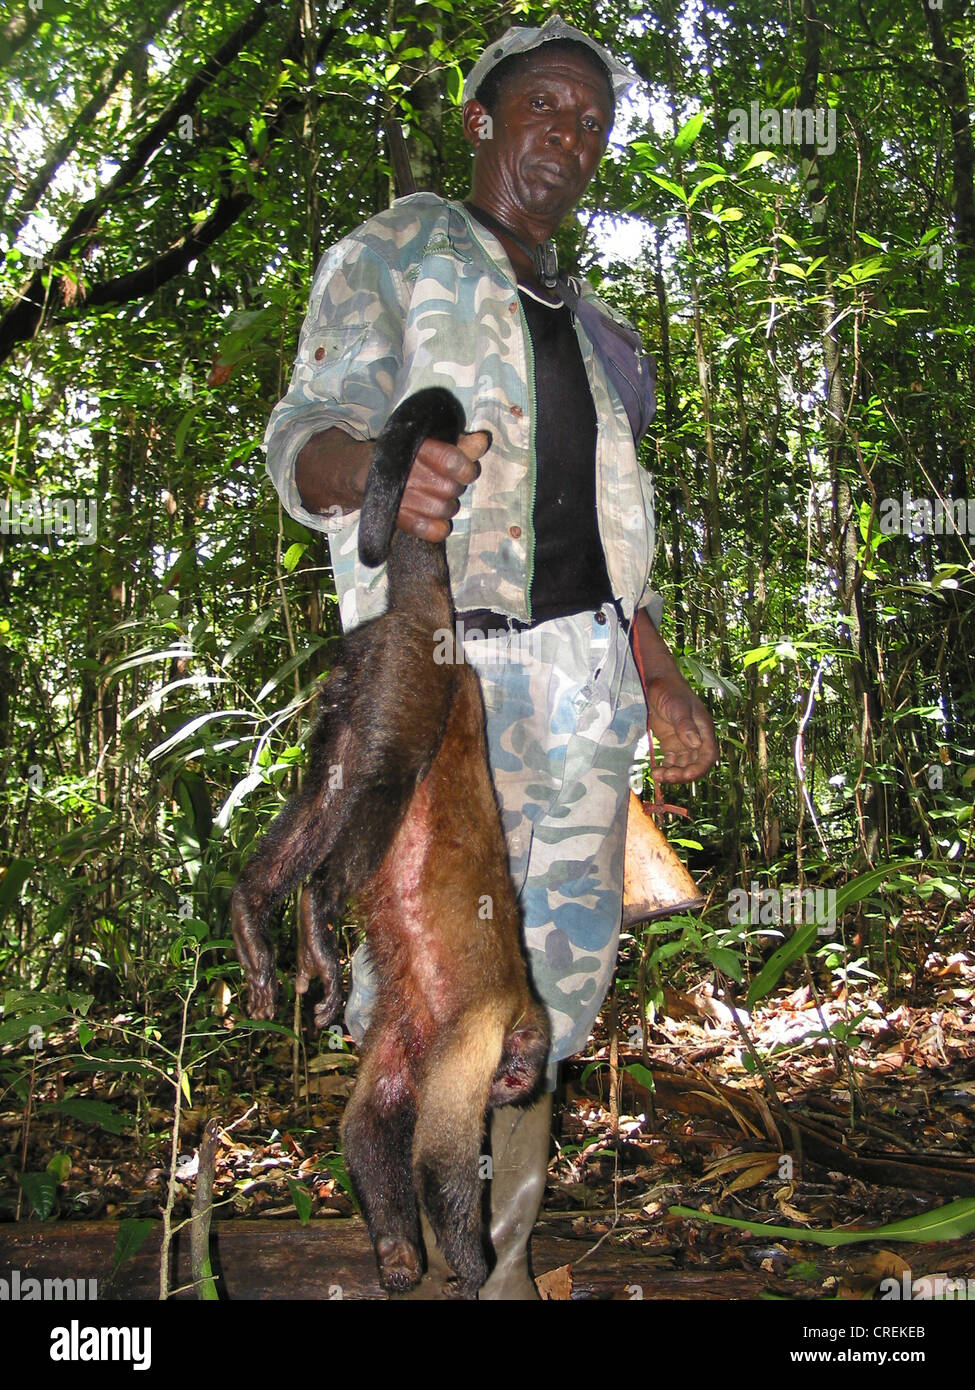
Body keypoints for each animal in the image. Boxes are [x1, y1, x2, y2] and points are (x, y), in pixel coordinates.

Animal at [228, 386, 548, 1295]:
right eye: (518, 1072)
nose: (513, 1089)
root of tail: (434, 623)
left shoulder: (412, 1032)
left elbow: (368, 1127)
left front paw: (401, 1255)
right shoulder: (479, 1029)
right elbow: (438, 1159)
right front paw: (473, 1270)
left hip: (359, 674)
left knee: (327, 788)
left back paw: (252, 906)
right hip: (414, 676)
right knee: (382, 783)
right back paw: (311, 913)